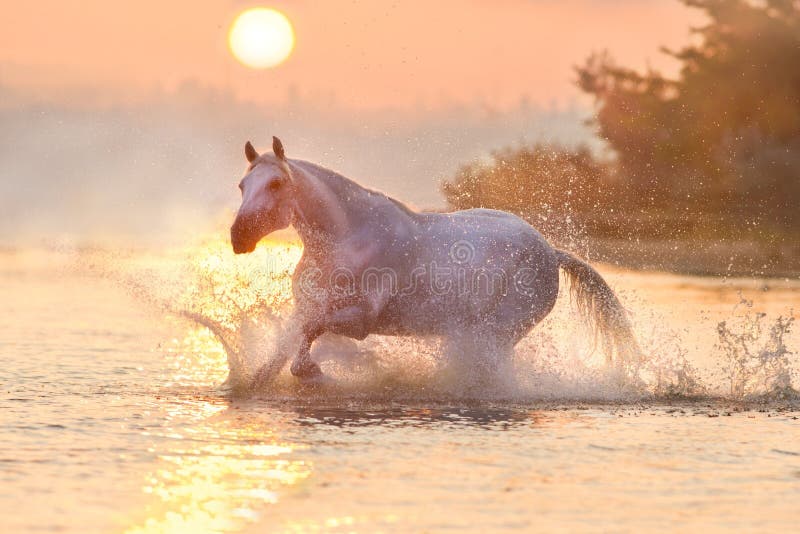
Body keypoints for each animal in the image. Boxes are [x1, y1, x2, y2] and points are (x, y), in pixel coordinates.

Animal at [230, 137, 640, 387]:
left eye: (276, 184)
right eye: (242, 185)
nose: (238, 237)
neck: (347, 238)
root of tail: (551, 253)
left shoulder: (362, 318)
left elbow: (308, 337)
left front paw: (316, 373)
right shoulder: (307, 307)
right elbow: (290, 345)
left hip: (497, 332)